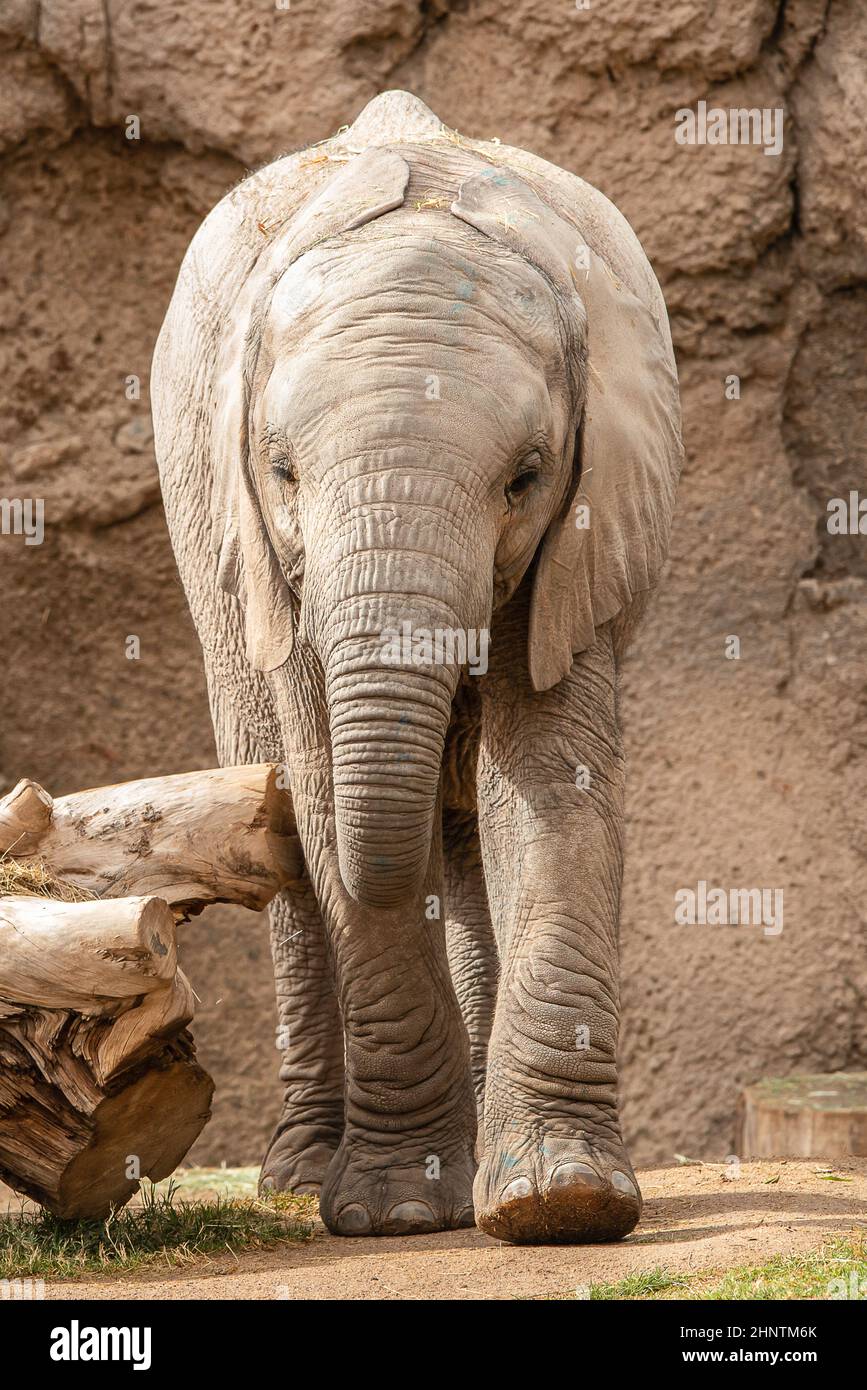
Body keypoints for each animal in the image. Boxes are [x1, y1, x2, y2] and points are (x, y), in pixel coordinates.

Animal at [151, 90, 682, 1244]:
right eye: (282, 469)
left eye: (525, 477)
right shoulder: (275, 564)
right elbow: (319, 796)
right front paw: (394, 1208)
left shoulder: (584, 530)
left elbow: (549, 782)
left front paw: (558, 1202)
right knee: (287, 832)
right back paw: (305, 1171)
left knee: (473, 831)